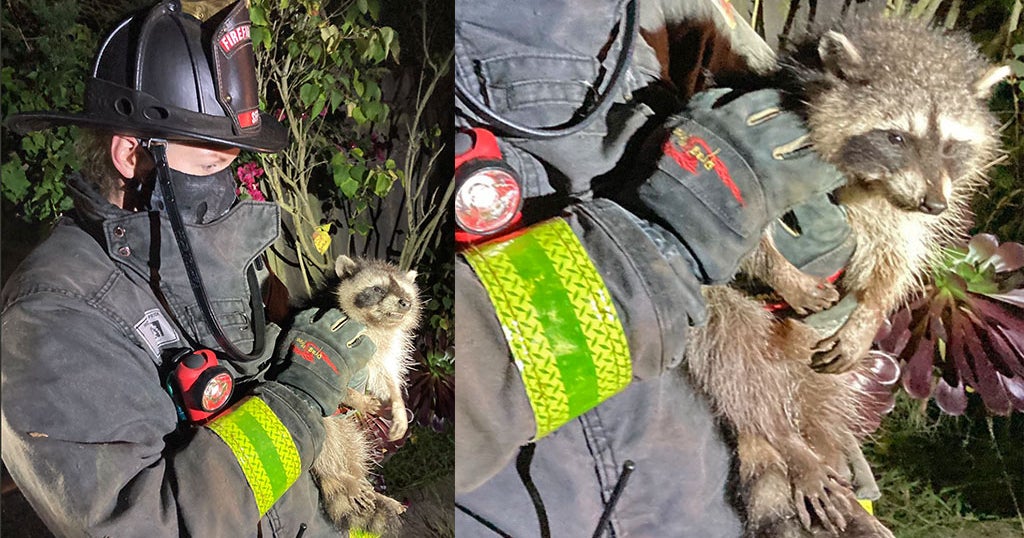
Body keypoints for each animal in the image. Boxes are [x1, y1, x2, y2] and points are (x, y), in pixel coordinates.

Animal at [311, 255, 421, 534]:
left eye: (406, 292)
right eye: (378, 289)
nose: (405, 303)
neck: (376, 324)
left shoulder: (383, 349)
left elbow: (385, 377)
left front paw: (397, 404)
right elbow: (336, 383)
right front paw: (356, 398)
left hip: (350, 430)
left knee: (355, 447)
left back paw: (363, 482)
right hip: (325, 421)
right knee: (326, 444)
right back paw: (337, 476)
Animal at [681, 17, 1008, 537]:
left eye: (952, 145)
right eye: (897, 137)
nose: (934, 203)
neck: (868, 178)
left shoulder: (894, 207)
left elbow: (896, 253)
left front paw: (872, 308)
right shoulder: (769, 149)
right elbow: (745, 233)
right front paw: (780, 270)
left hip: (815, 364)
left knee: (821, 401)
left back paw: (822, 450)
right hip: (721, 309)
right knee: (732, 351)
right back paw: (783, 437)